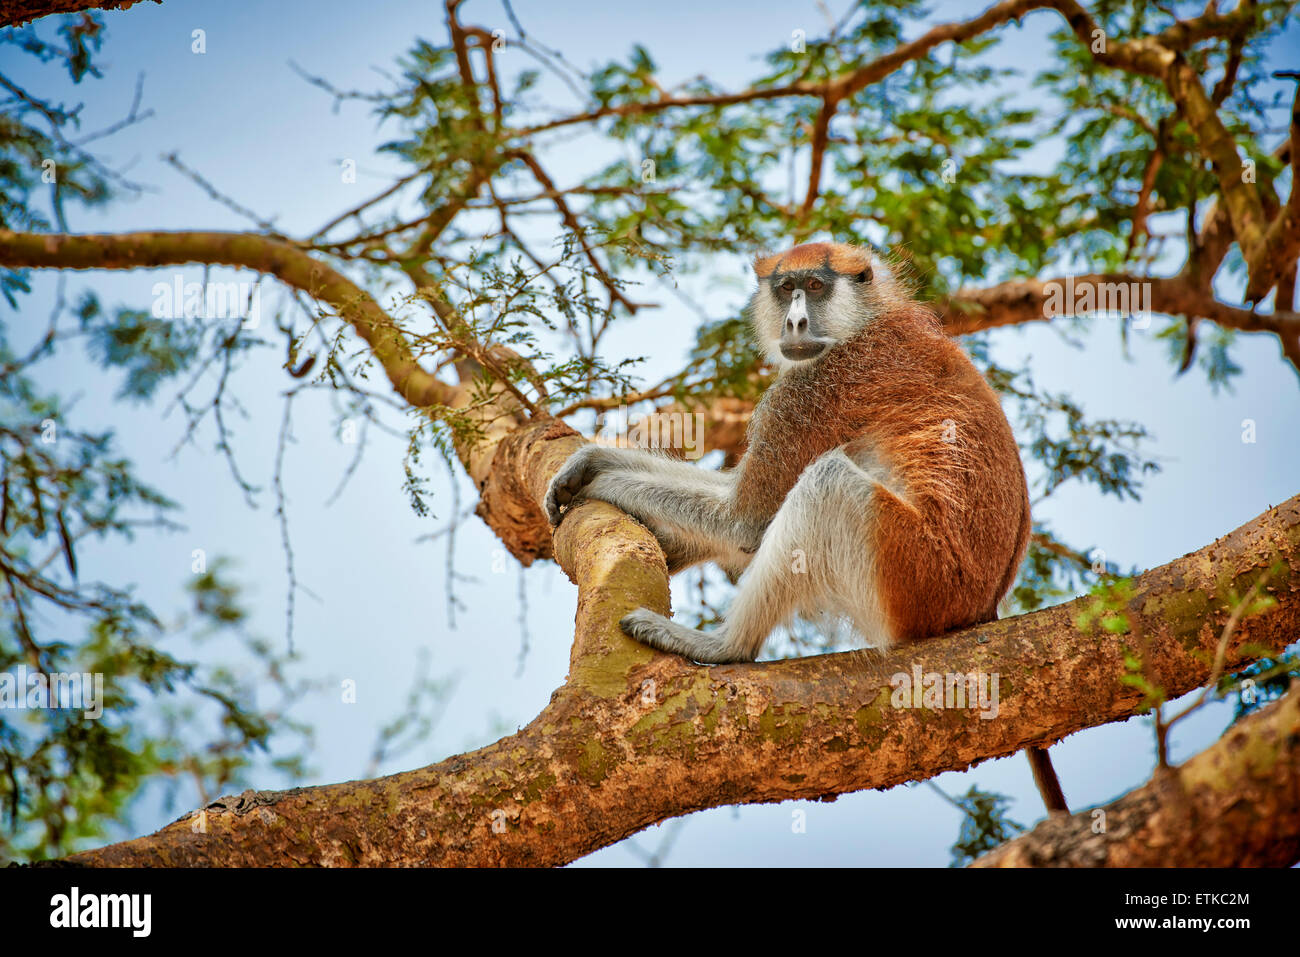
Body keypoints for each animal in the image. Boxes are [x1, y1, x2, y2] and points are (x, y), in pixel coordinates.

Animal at [544, 240, 1068, 814]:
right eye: (785, 288)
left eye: (815, 287)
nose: (794, 321)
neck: (866, 320)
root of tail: (980, 604)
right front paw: (593, 463)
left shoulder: (816, 387)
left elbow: (744, 521)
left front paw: (602, 478)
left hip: (914, 572)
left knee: (826, 482)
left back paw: (726, 647)